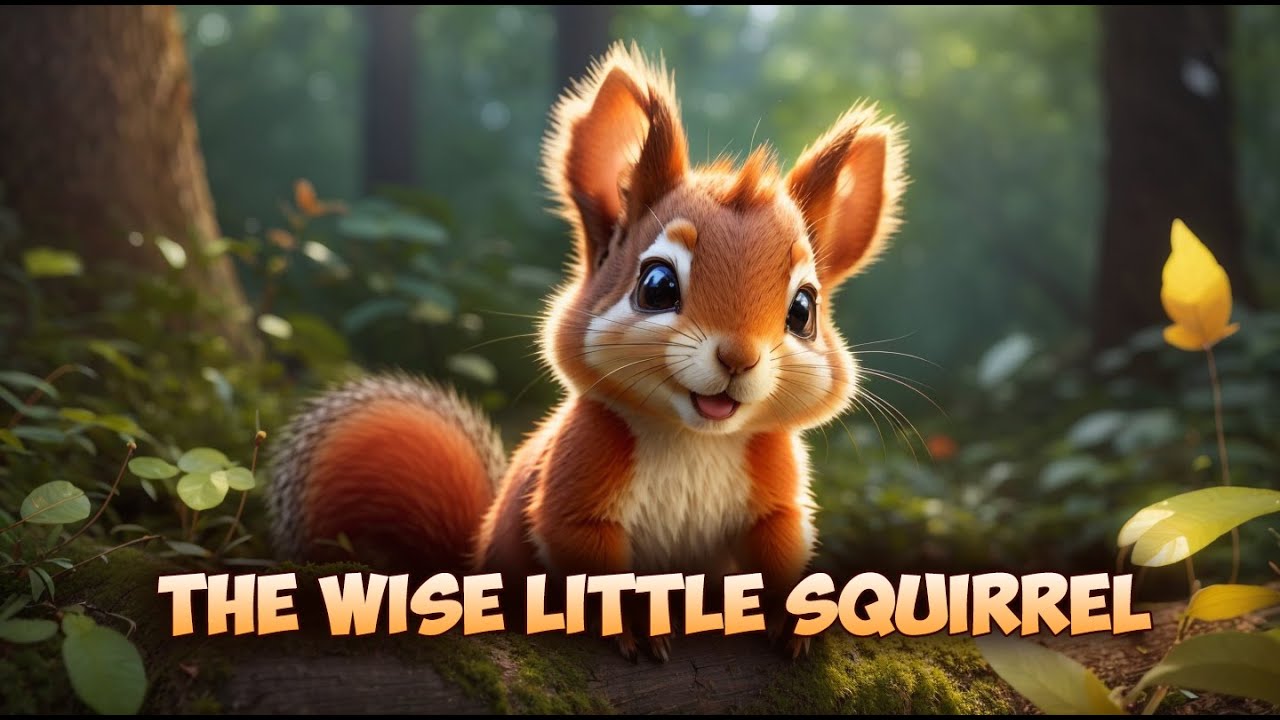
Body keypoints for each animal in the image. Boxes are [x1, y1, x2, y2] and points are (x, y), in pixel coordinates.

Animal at [269, 42, 906, 660]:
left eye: (803, 310)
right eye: (657, 285)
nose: (738, 358)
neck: (694, 439)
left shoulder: (774, 490)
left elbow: (778, 549)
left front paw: (797, 618)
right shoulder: (581, 474)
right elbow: (589, 560)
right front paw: (637, 625)